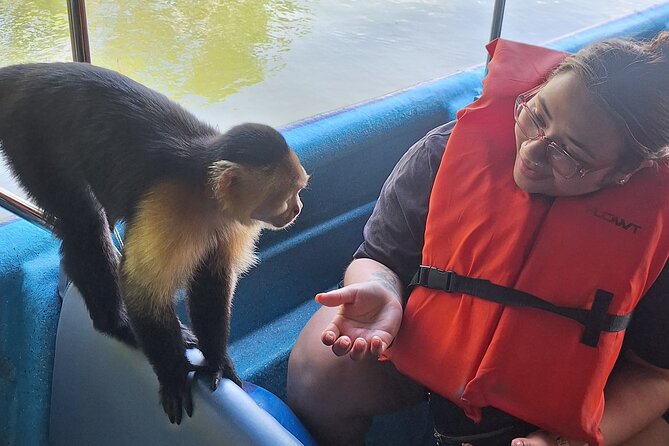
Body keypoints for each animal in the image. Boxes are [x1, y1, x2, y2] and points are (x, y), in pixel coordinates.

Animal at [0, 62, 308, 424]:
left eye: (298, 191)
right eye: (288, 194)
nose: (297, 208)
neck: (206, 195)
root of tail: (28, 71)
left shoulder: (233, 222)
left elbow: (211, 282)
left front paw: (216, 360)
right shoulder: (168, 205)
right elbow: (142, 290)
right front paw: (174, 374)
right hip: (31, 133)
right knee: (85, 222)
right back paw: (115, 323)